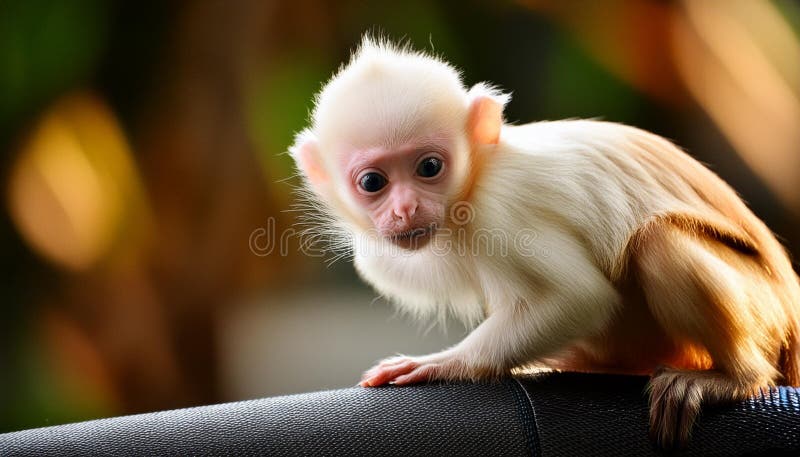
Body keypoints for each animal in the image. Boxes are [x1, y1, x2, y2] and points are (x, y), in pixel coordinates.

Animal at [289, 37, 800, 447]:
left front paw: (445, 363)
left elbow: (581, 298)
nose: (406, 209)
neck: (473, 183)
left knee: (658, 242)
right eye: (373, 182)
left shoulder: (500, 210)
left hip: (763, 313)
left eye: (429, 168)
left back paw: (734, 377)